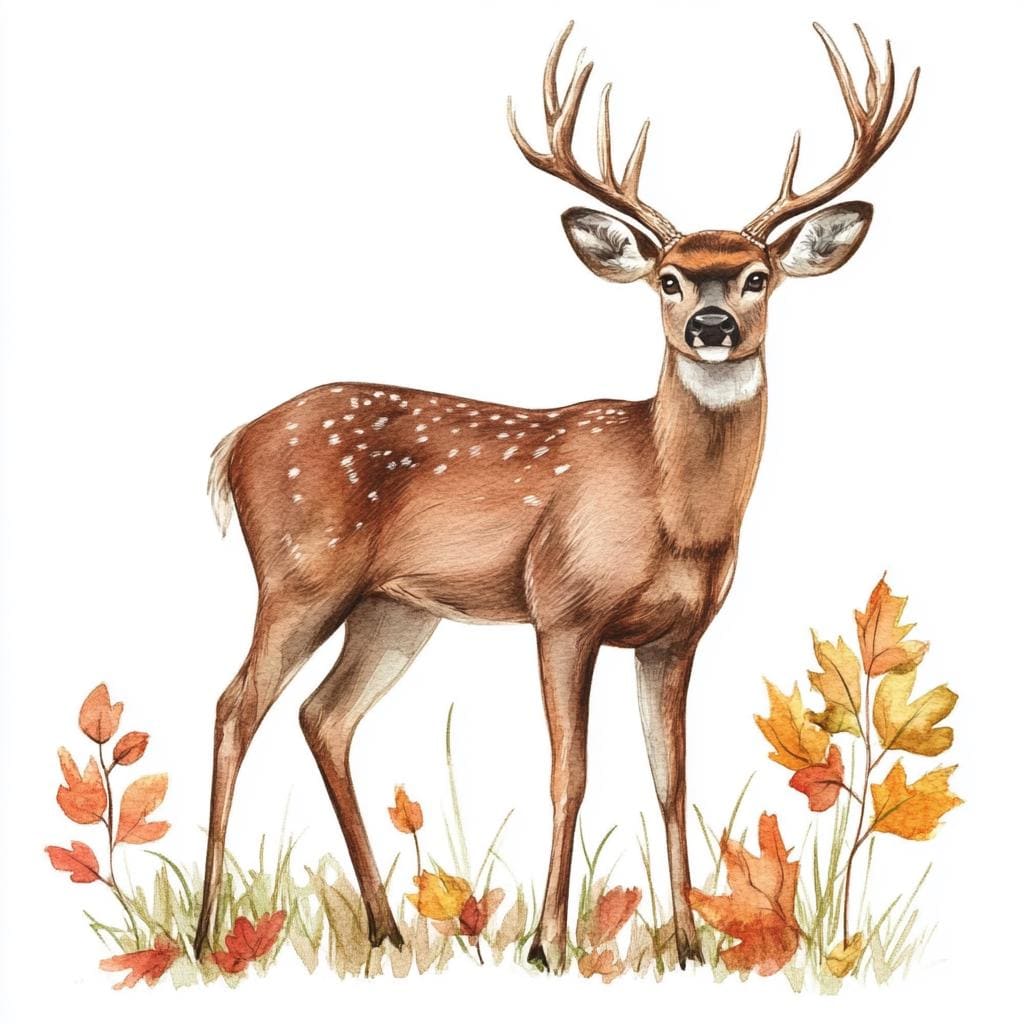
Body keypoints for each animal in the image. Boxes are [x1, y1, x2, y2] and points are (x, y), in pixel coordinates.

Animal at [192, 21, 918, 971]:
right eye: (667, 278)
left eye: (758, 276)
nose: (711, 326)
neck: (671, 510)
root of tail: (237, 440)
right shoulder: (563, 609)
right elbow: (569, 773)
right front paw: (545, 944)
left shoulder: (677, 636)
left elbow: (671, 777)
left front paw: (689, 944)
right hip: (299, 574)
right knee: (235, 705)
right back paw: (205, 934)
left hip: (394, 607)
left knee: (324, 716)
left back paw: (386, 928)